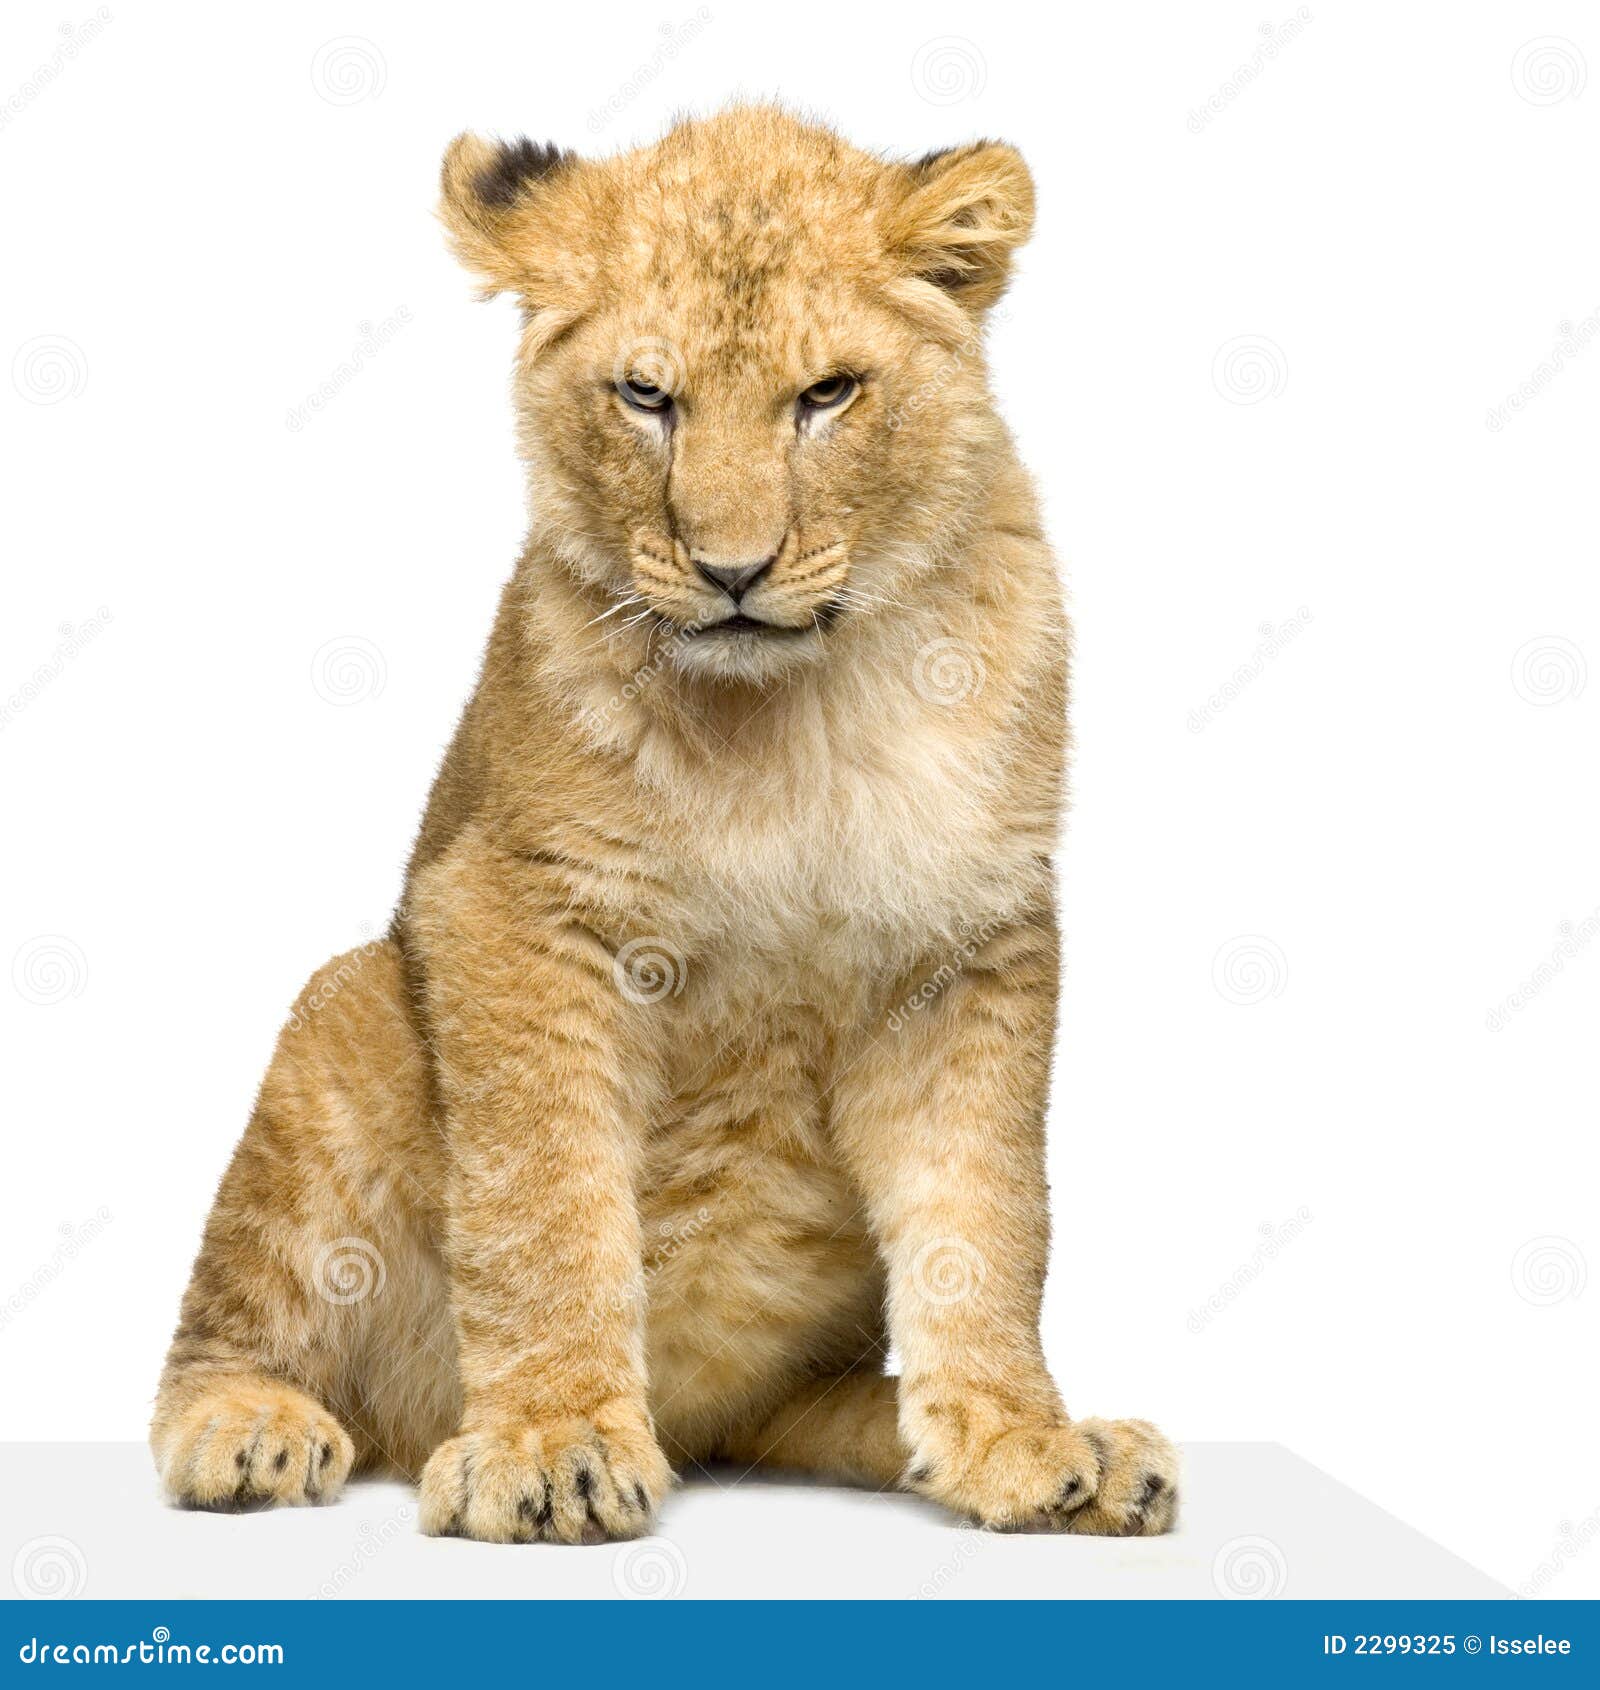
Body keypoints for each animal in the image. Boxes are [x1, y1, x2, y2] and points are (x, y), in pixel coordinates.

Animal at [150, 105, 1178, 1543]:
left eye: (828, 394)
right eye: (646, 397)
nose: (732, 571)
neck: (789, 722)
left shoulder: (974, 946)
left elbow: (985, 1217)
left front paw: (1023, 1438)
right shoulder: (514, 907)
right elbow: (544, 1201)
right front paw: (552, 1447)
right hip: (342, 1012)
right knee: (231, 1326)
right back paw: (248, 1428)